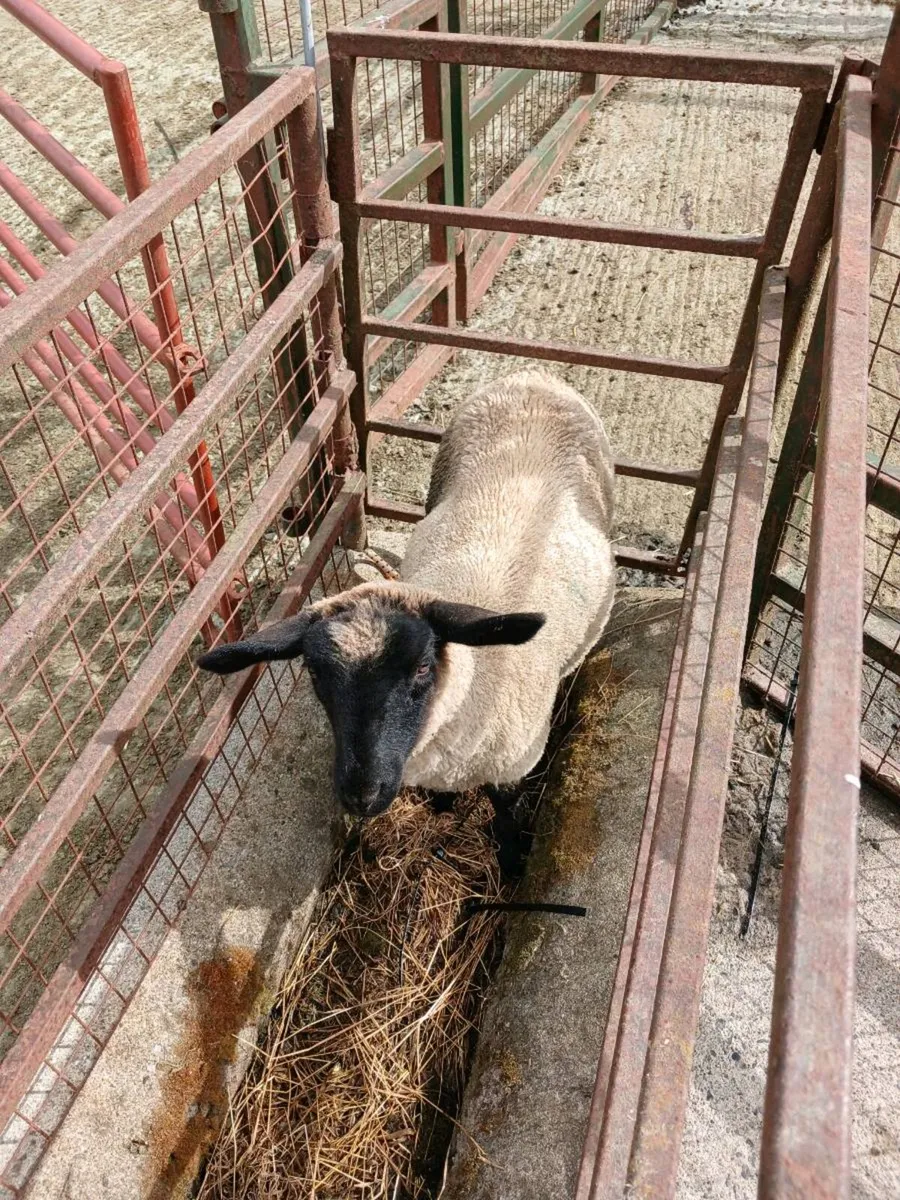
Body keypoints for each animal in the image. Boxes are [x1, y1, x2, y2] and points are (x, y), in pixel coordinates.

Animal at [197, 369, 615, 817]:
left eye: (422, 667)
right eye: (313, 671)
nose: (362, 795)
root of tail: (534, 375)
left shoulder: (512, 773)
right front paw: (444, 812)